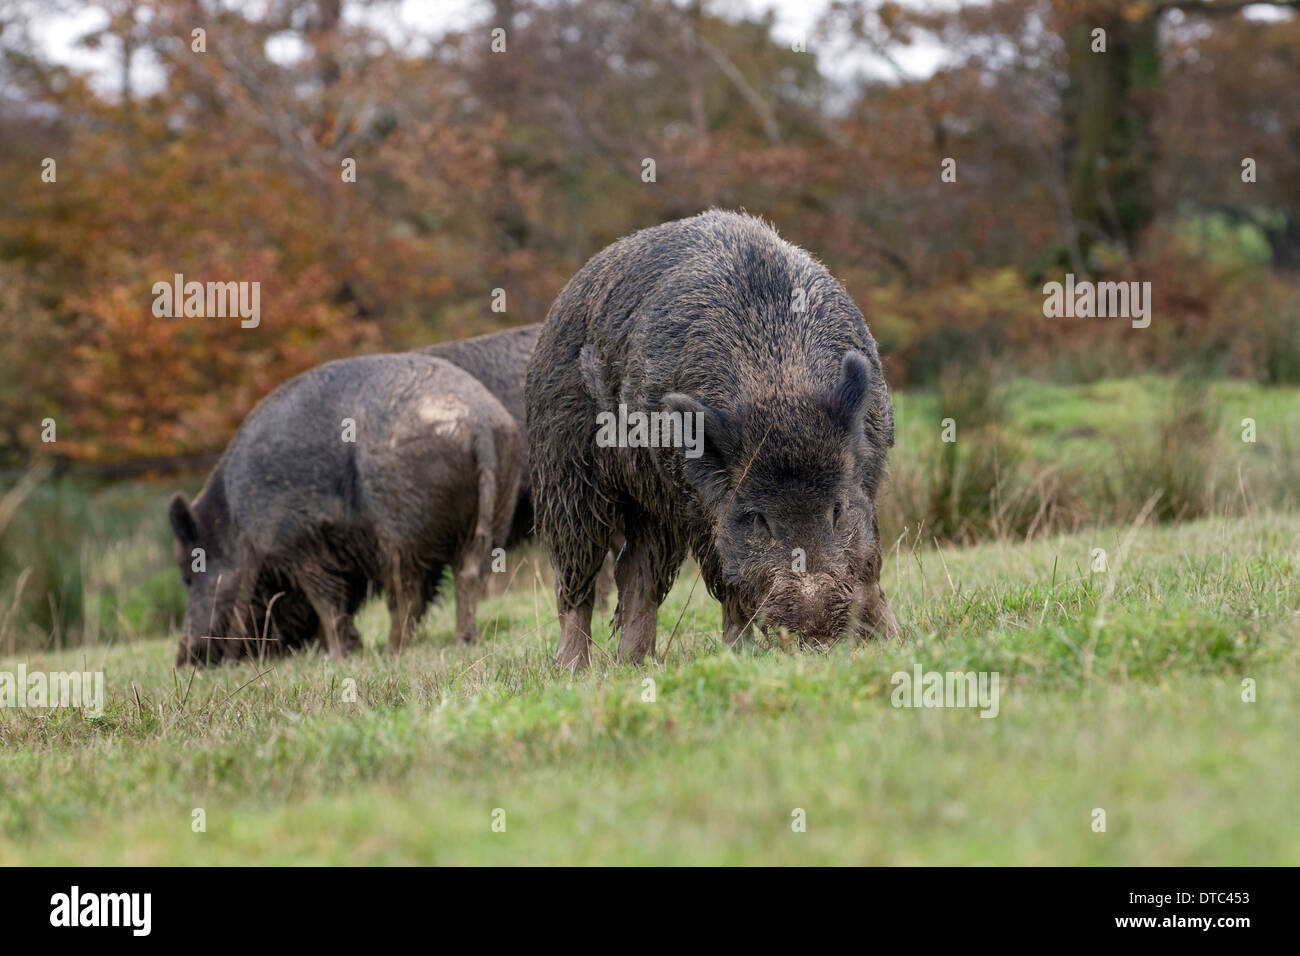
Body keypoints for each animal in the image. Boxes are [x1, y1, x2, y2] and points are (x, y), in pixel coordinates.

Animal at [168, 353, 521, 666]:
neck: (238, 526)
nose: (183, 659)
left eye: (188, 576)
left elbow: (326, 601)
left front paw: (340, 656)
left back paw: (392, 651)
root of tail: (480, 422)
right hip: (497, 509)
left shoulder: (300, 545)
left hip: (401, 526)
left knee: (409, 593)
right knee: (468, 574)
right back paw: (462, 640)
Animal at [526, 210, 899, 668]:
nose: (815, 626)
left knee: (637, 573)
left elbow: (869, 563)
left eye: (837, 509)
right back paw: (573, 669)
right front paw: (738, 657)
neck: (778, 386)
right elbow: (729, 582)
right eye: (757, 517)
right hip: (564, 475)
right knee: (576, 579)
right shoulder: (702, 506)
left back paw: (636, 662)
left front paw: (895, 639)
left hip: (654, 506)